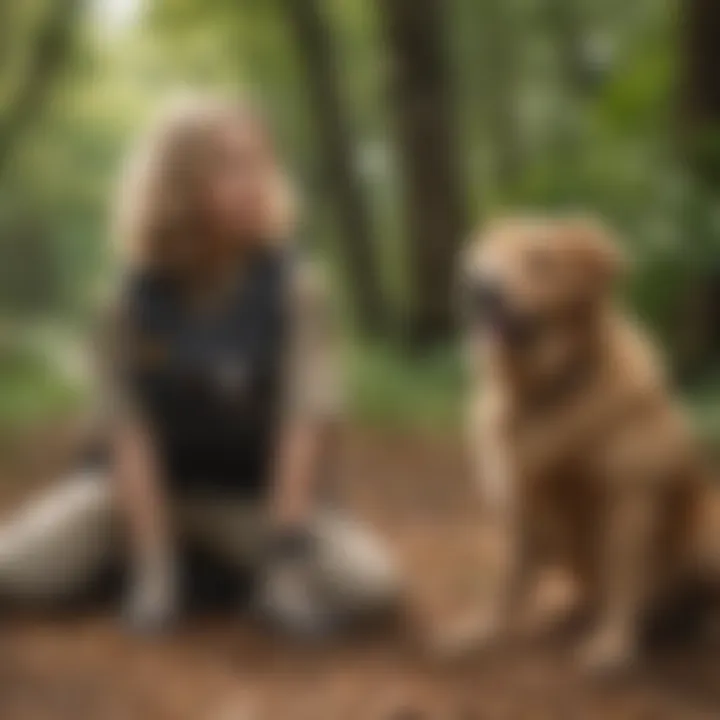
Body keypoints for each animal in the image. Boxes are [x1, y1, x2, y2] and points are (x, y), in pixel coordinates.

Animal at [456, 215, 720, 676]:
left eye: (540, 258)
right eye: (487, 254)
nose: (481, 286)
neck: (549, 391)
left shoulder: (631, 501)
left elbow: (623, 580)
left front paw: (612, 646)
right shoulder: (521, 501)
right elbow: (507, 579)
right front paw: (481, 628)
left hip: (710, 527)